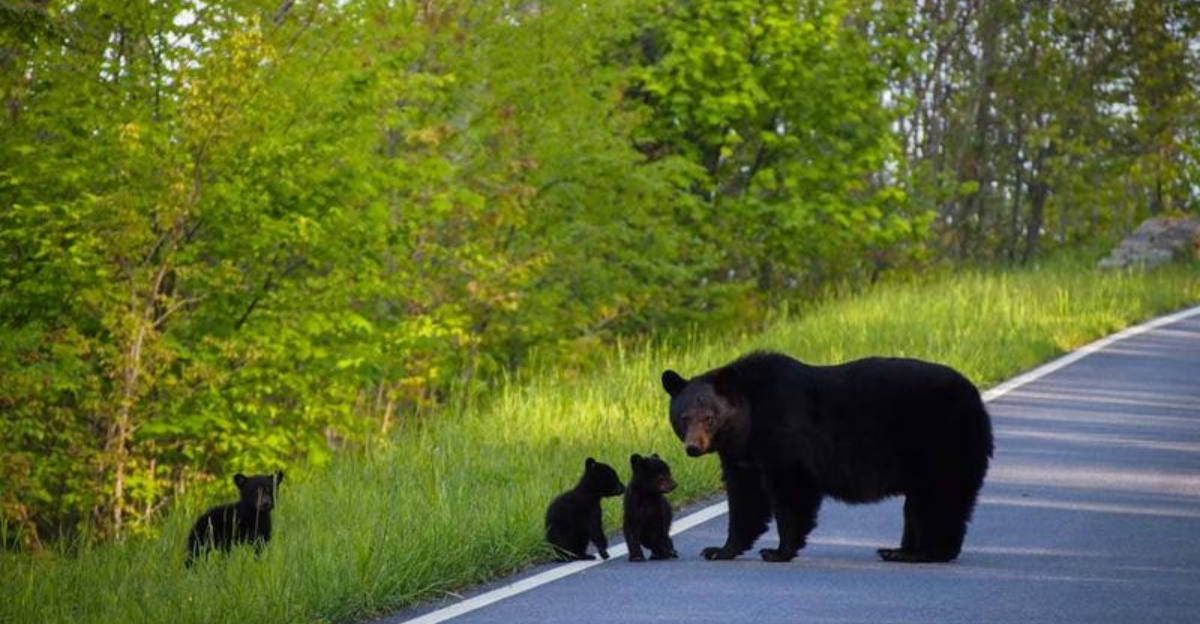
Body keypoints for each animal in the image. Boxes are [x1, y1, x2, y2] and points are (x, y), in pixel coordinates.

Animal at [661, 351, 992, 564]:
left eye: (709, 417)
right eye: (683, 417)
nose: (693, 447)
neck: (749, 421)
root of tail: (974, 397)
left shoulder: (783, 436)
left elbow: (790, 492)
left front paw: (778, 551)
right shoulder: (742, 457)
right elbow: (745, 500)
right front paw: (720, 549)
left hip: (938, 442)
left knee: (936, 498)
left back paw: (925, 553)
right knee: (920, 505)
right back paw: (898, 551)